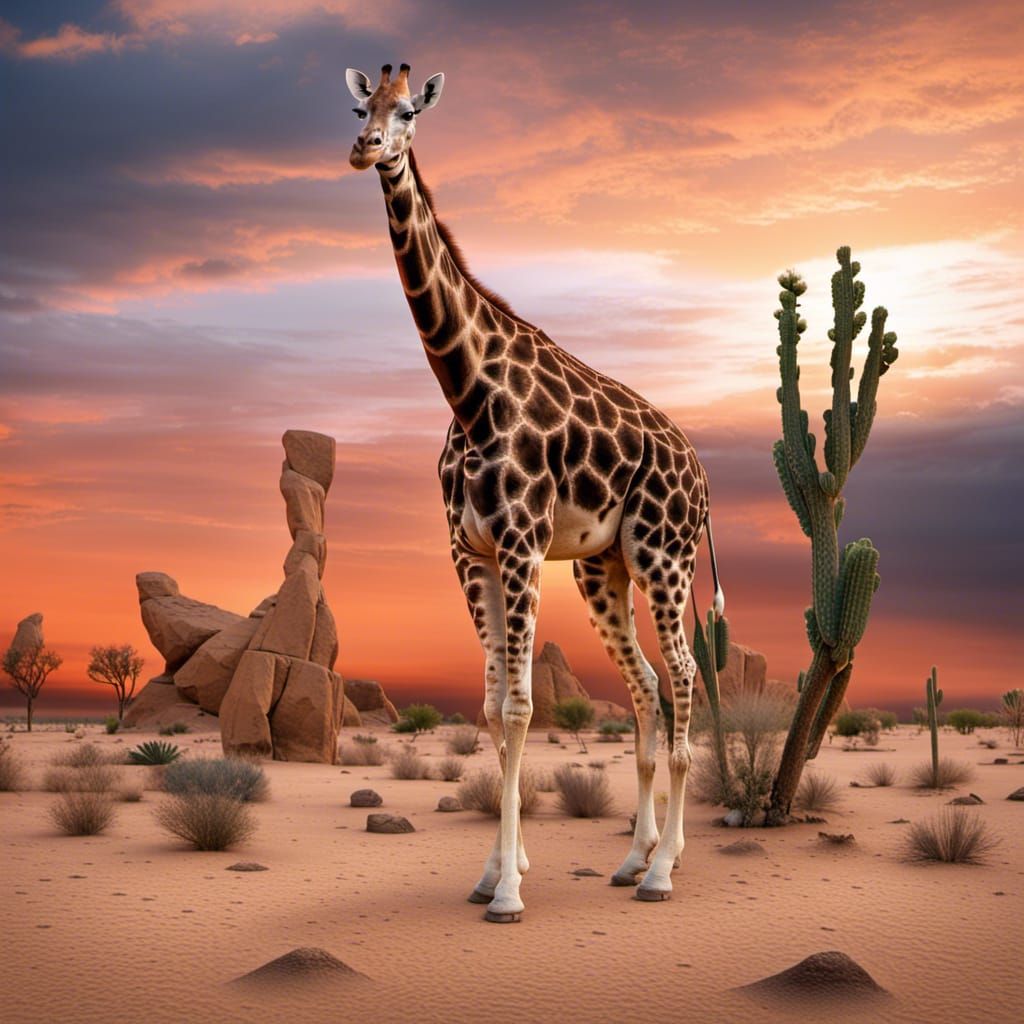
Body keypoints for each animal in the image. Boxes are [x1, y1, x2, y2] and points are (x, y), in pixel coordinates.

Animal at [346, 63, 724, 923]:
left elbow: (519, 706)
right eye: (357, 107)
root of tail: (702, 473)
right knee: (646, 683)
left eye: (409, 111)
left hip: (665, 555)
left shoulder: (520, 540)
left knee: (685, 673)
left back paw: (664, 869)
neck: (466, 390)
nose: (365, 147)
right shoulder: (469, 550)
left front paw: (510, 893)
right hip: (601, 567)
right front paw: (494, 870)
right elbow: (492, 707)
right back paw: (634, 858)